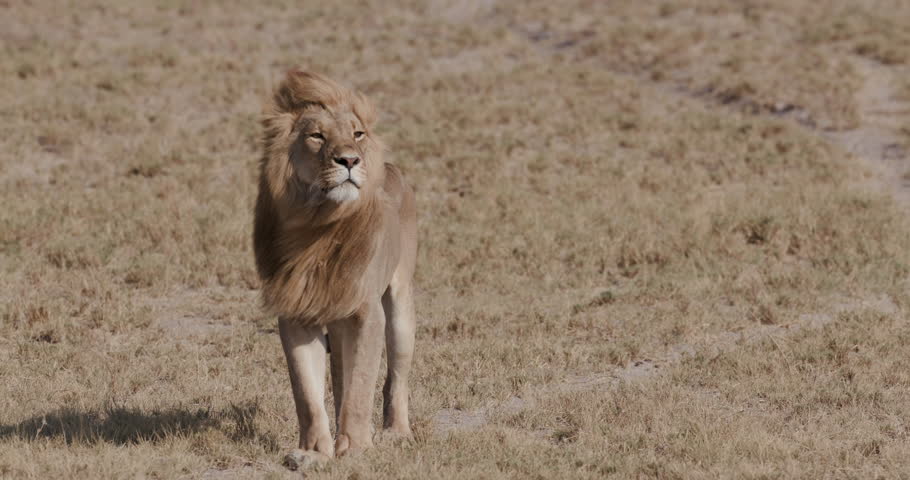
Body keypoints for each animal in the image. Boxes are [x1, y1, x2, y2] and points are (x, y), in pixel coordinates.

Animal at [252, 70, 418, 469]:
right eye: (317, 136)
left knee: (395, 377)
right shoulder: (297, 315)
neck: (319, 228)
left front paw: (355, 450)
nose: (350, 161)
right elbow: (308, 394)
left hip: (400, 306)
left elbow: (360, 389)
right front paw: (313, 453)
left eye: (357, 133)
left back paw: (395, 433)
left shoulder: (367, 313)